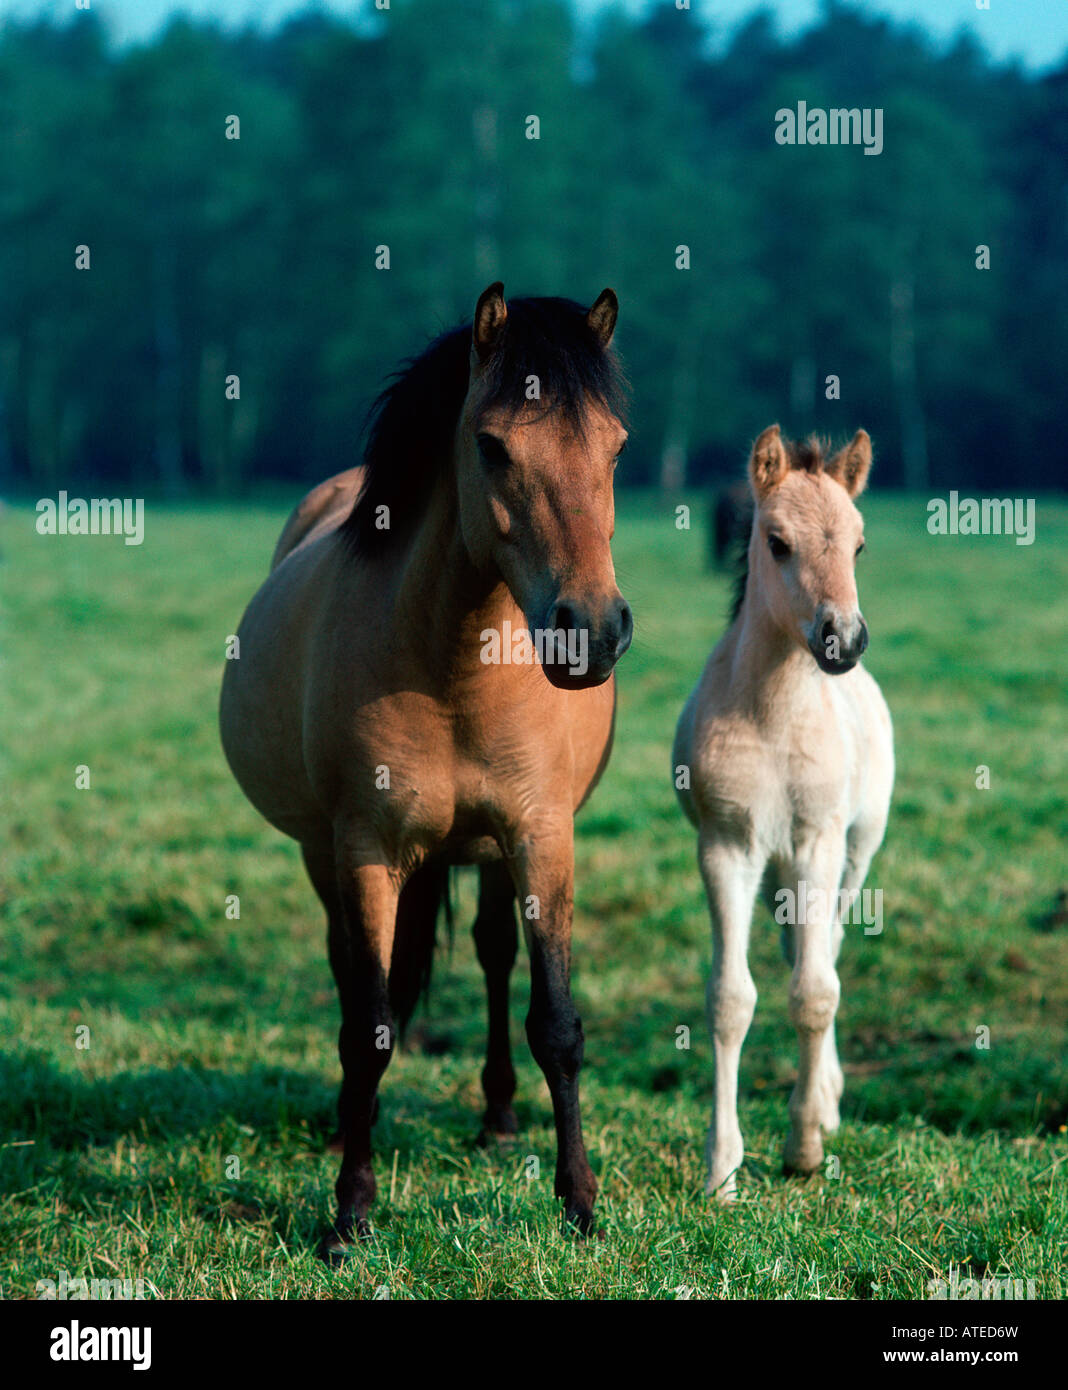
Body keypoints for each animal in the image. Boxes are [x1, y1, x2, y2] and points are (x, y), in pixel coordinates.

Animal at [219, 283, 632, 1259]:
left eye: (616, 446)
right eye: (492, 445)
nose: (592, 630)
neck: (451, 664)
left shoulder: (540, 836)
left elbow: (557, 1023)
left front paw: (580, 1206)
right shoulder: (366, 849)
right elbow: (367, 1028)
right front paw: (349, 1214)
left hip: (488, 850)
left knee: (491, 957)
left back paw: (499, 1119)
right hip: (329, 856)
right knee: (349, 970)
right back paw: (348, 1127)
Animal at [673, 425, 893, 1198]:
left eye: (859, 544)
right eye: (776, 542)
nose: (843, 639)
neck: (773, 719)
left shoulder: (817, 842)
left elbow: (814, 991)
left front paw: (803, 1147)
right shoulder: (727, 847)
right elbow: (731, 999)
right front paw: (721, 1169)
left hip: (853, 855)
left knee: (825, 950)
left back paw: (826, 1102)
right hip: (774, 873)